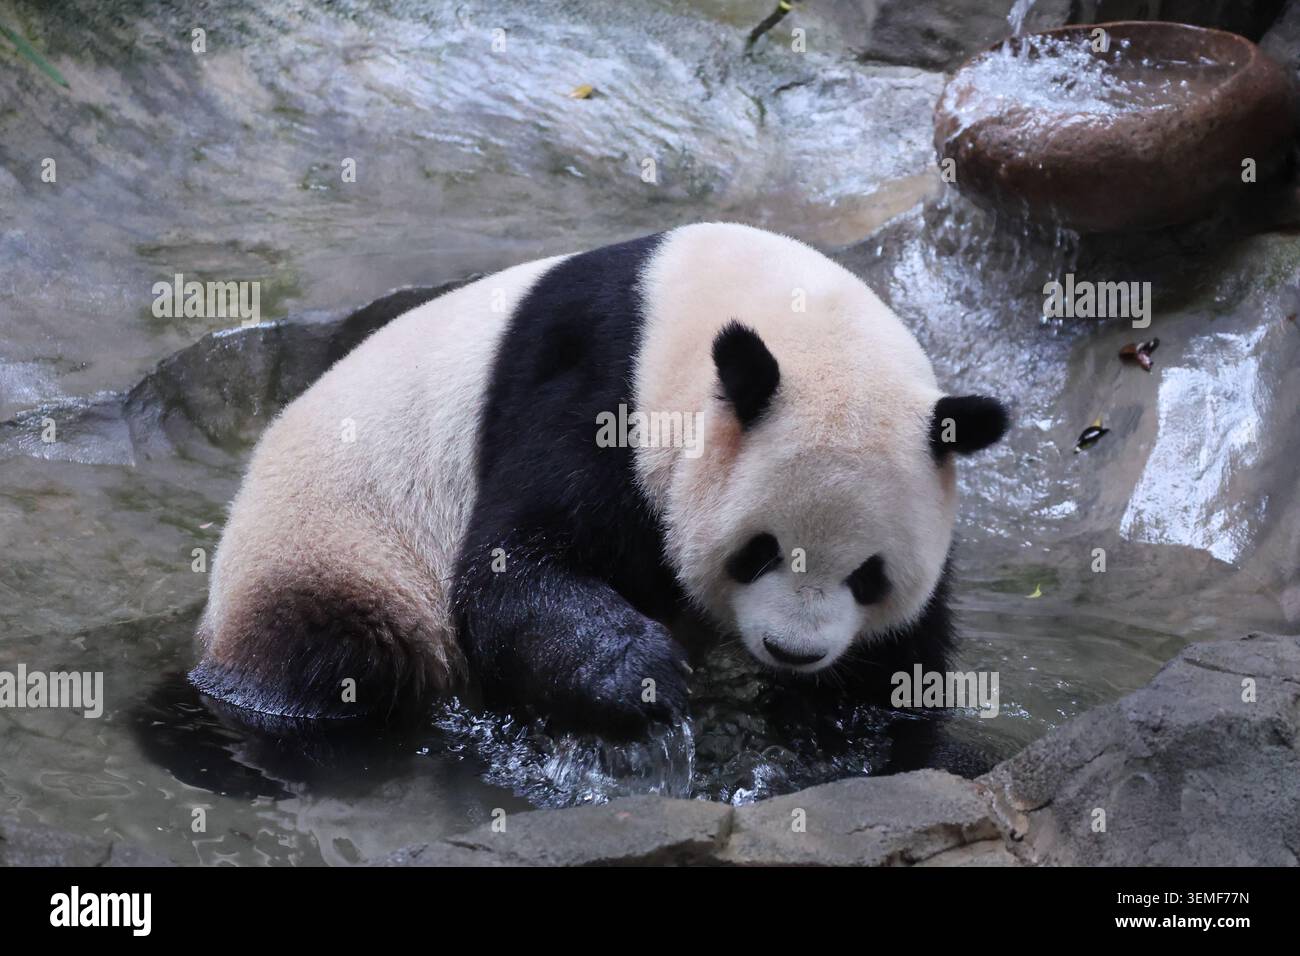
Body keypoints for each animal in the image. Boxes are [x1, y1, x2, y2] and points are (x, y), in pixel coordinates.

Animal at [191, 222, 1009, 736]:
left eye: (869, 575)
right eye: (760, 551)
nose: (795, 652)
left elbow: (899, 665)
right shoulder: (593, 381)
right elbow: (511, 567)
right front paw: (637, 677)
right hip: (334, 539)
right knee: (335, 657)